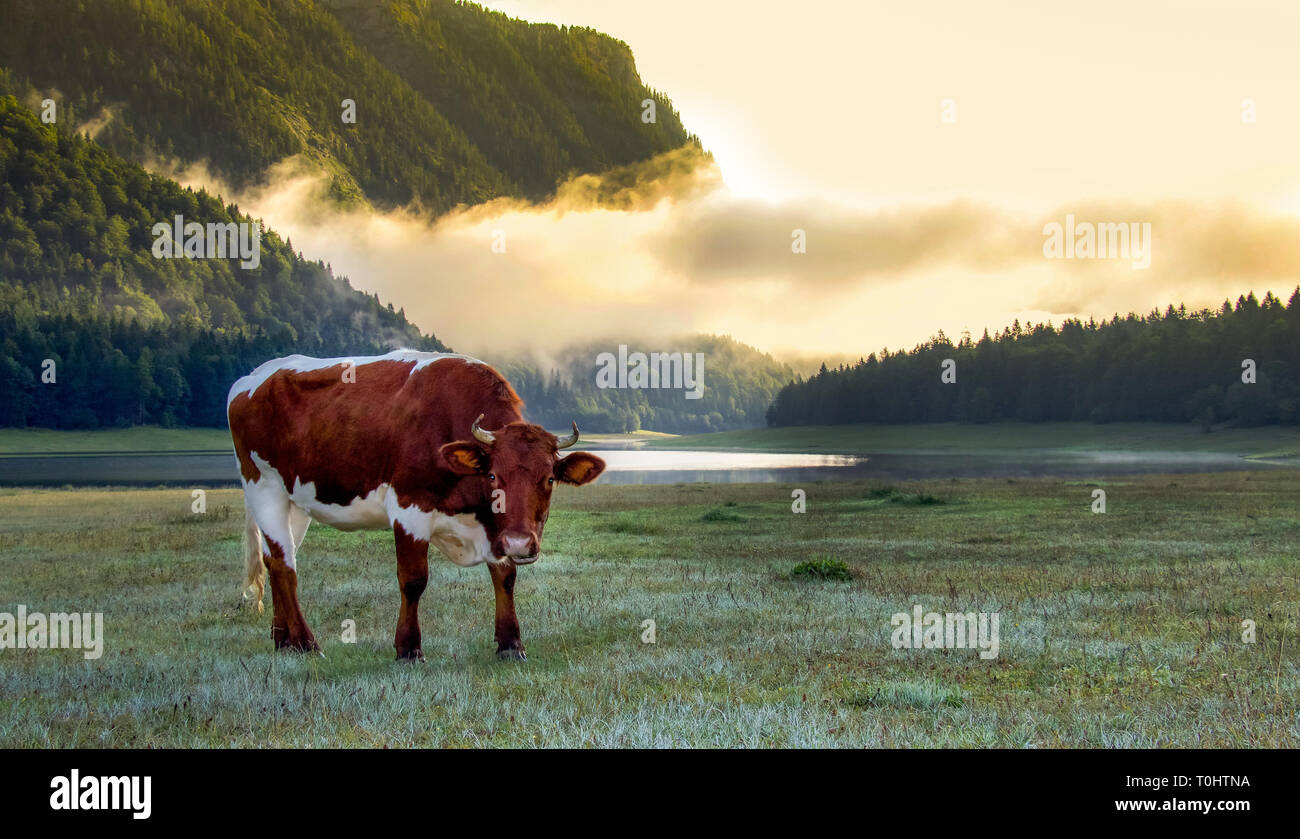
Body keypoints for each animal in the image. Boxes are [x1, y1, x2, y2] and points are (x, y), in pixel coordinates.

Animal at [226, 350, 606, 660]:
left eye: (550, 479)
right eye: (493, 476)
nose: (520, 543)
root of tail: (252, 377)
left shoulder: (495, 527)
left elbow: (505, 575)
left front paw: (510, 644)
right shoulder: (409, 507)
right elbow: (413, 579)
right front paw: (408, 649)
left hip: (295, 500)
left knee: (274, 560)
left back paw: (283, 641)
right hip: (264, 487)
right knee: (285, 567)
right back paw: (306, 643)